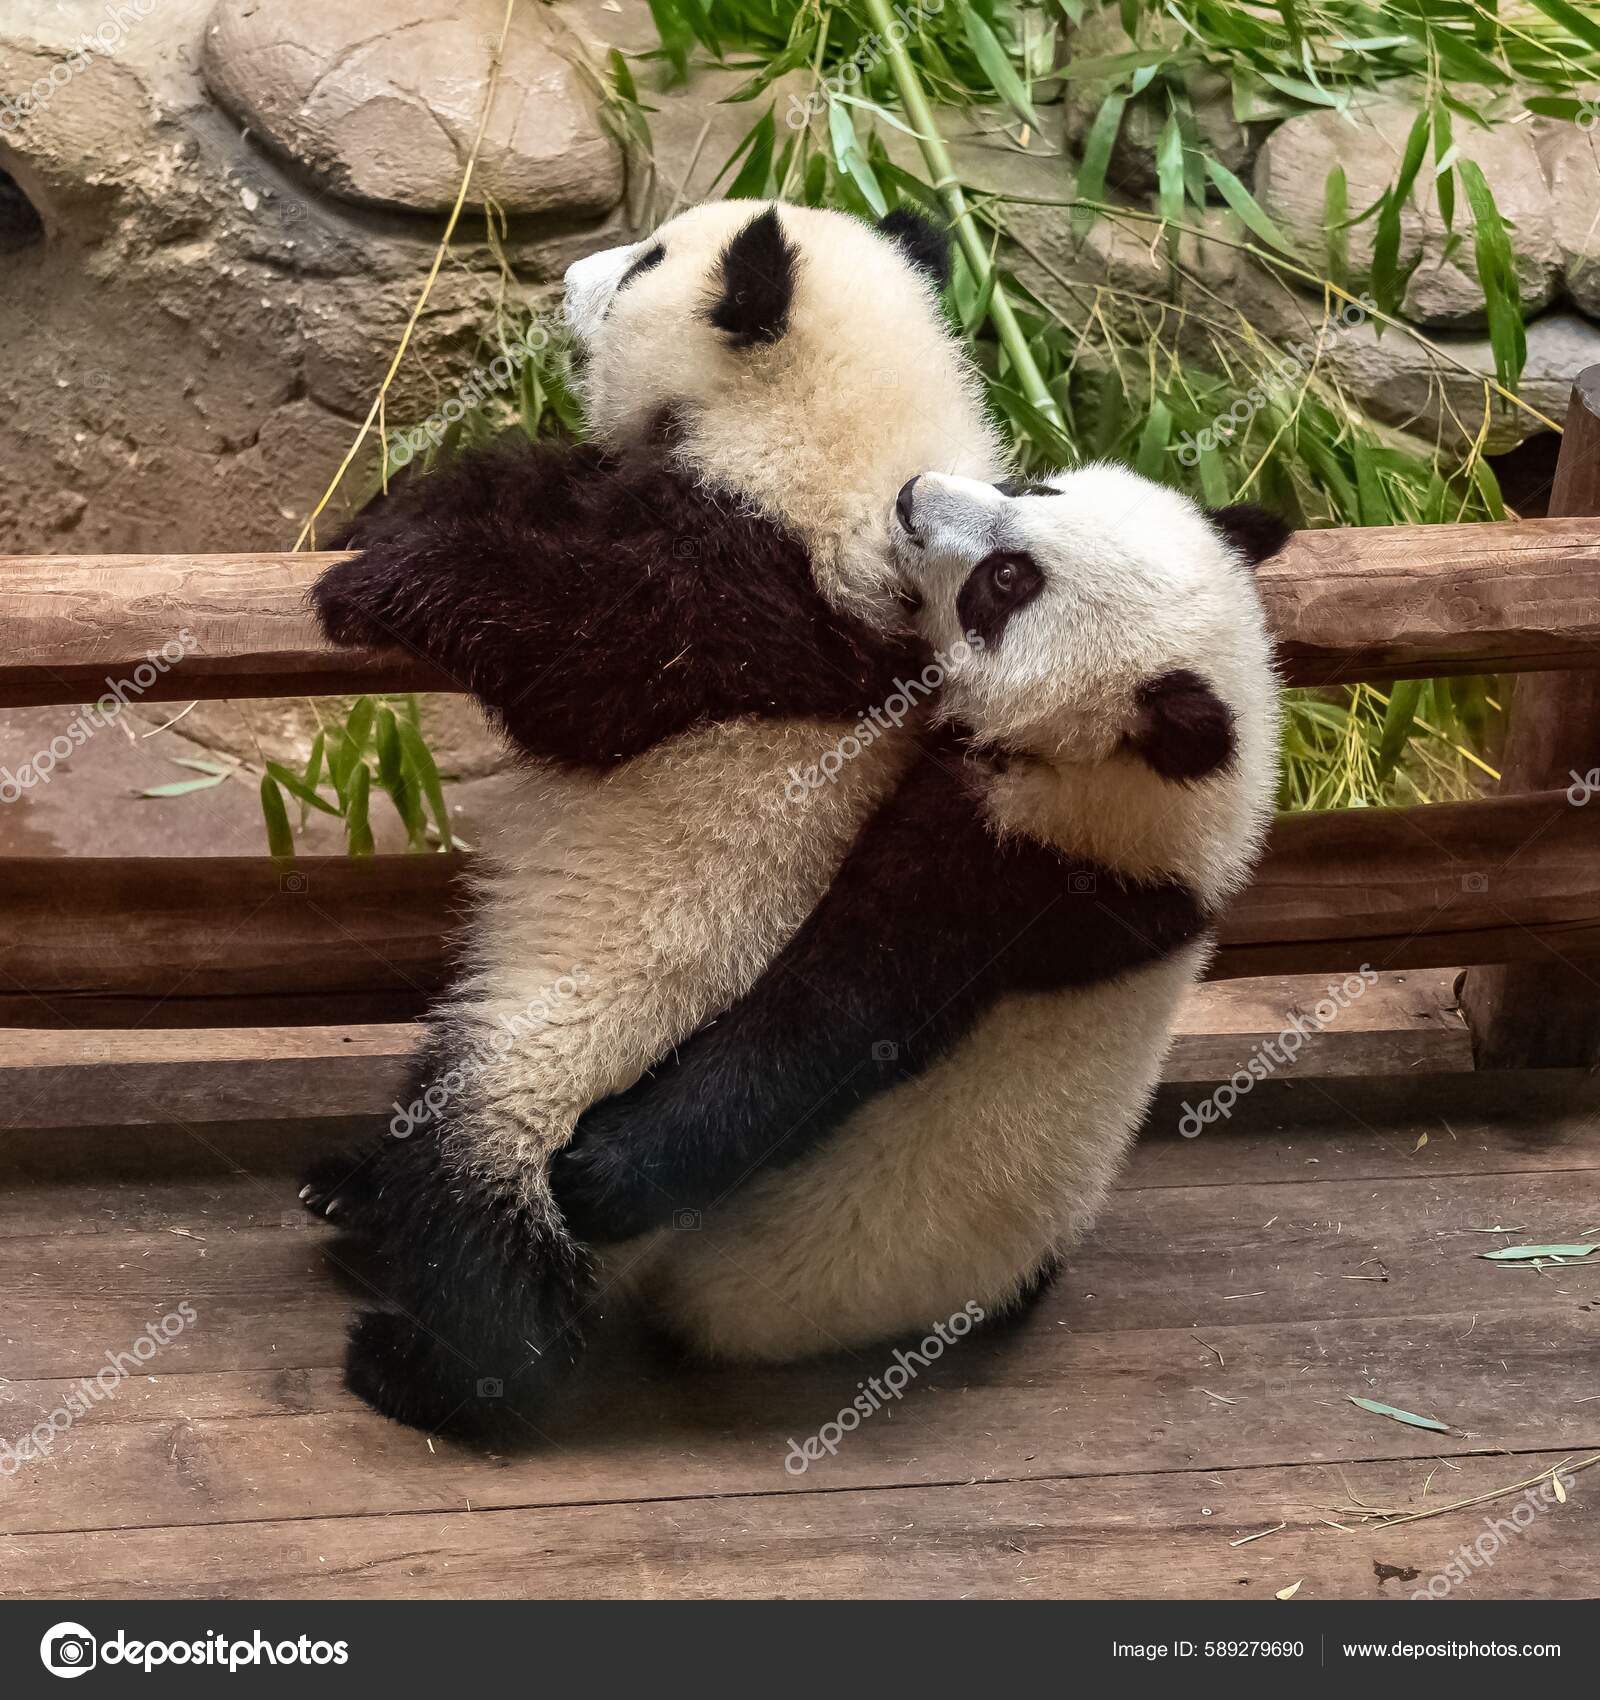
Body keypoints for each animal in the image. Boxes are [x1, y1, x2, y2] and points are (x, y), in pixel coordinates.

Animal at [301, 200, 1006, 1431]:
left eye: (644, 262)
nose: (567, 281)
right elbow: (547, 482)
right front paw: (382, 508)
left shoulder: (764, 581)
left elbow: (582, 649)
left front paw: (375, 579)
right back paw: (349, 1194)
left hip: (576, 1063)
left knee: (482, 1197)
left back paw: (428, 1365)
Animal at [550, 463, 1286, 1362]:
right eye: (1041, 492)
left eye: (1006, 582)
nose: (910, 496)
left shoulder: (1017, 880)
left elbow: (833, 1024)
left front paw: (593, 1170)